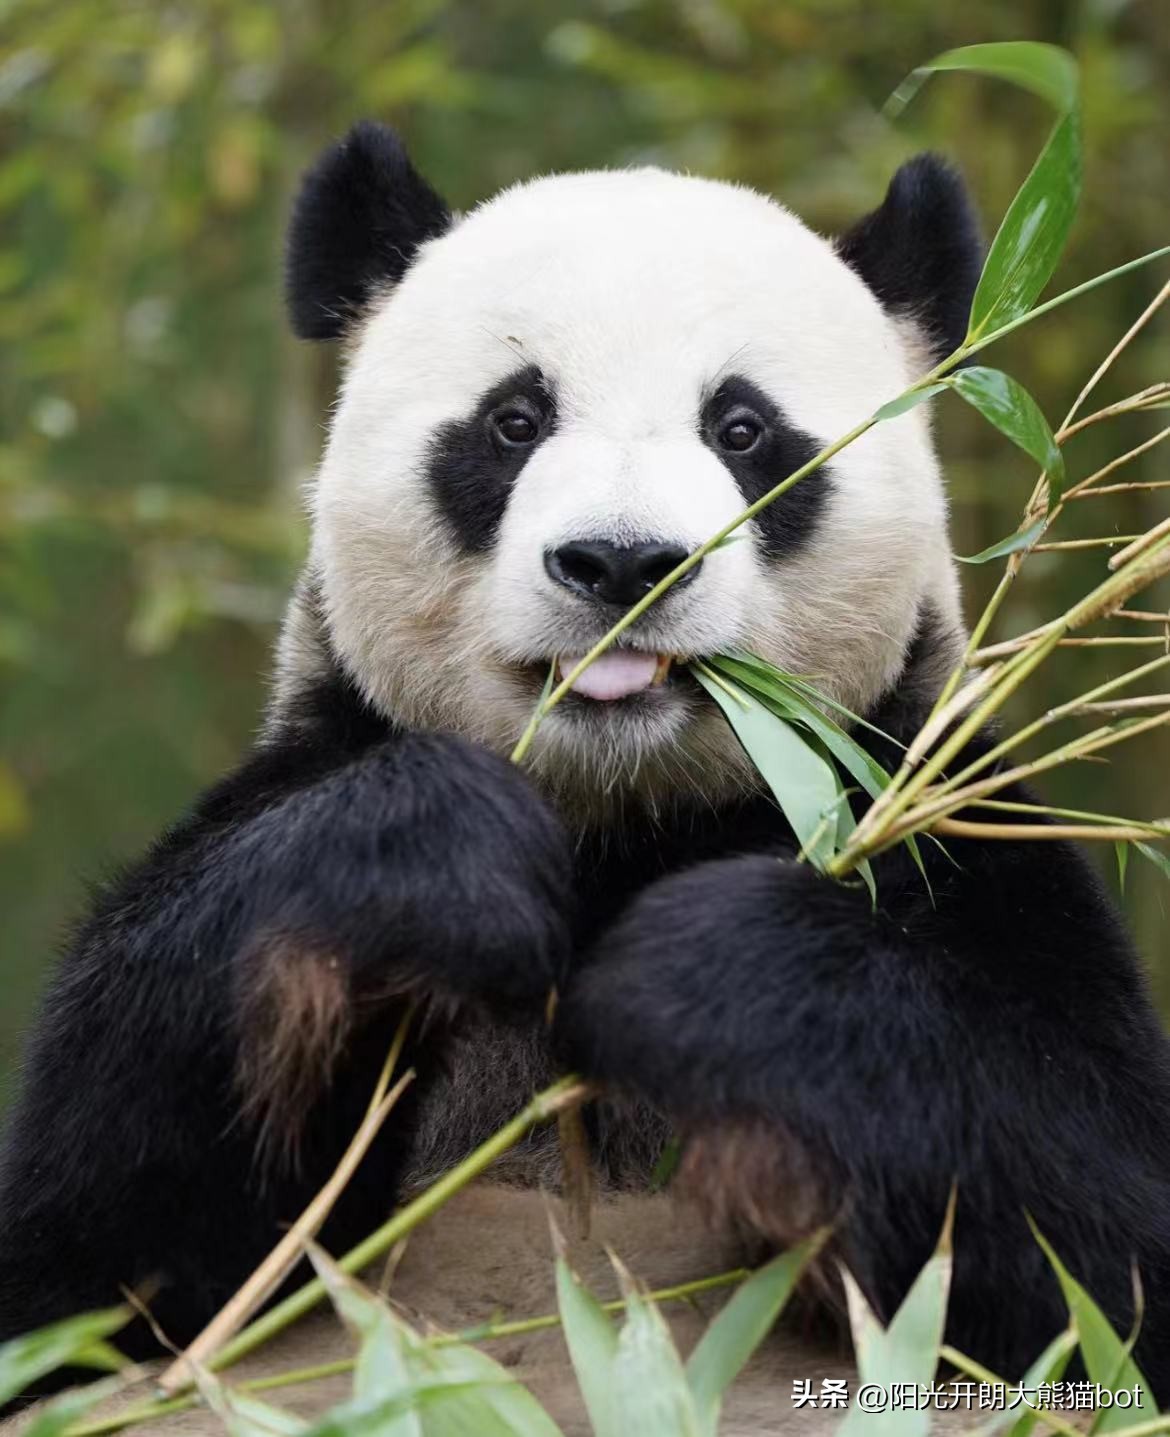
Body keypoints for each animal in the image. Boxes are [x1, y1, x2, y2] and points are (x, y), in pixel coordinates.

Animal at [3, 121, 1170, 1434]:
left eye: (741, 429)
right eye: (514, 422)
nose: (622, 563)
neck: (623, 818)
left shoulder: (934, 806)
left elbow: (1088, 1230)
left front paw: (700, 972)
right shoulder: (317, 761)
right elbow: (98, 1246)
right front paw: (439, 865)